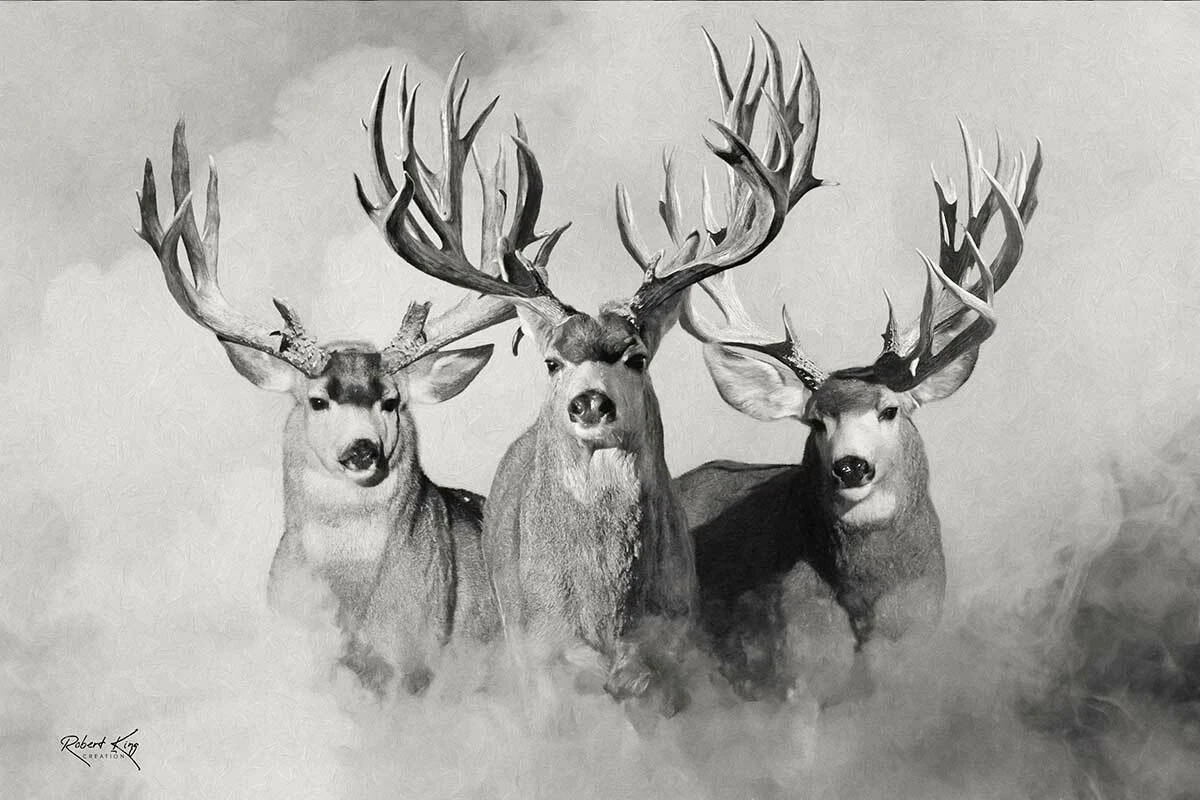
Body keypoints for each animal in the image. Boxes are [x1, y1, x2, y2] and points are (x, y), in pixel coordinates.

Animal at [354, 30, 823, 712]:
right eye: (552, 361)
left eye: (636, 355)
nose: (589, 404)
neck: (608, 617)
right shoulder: (542, 656)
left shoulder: (672, 652)